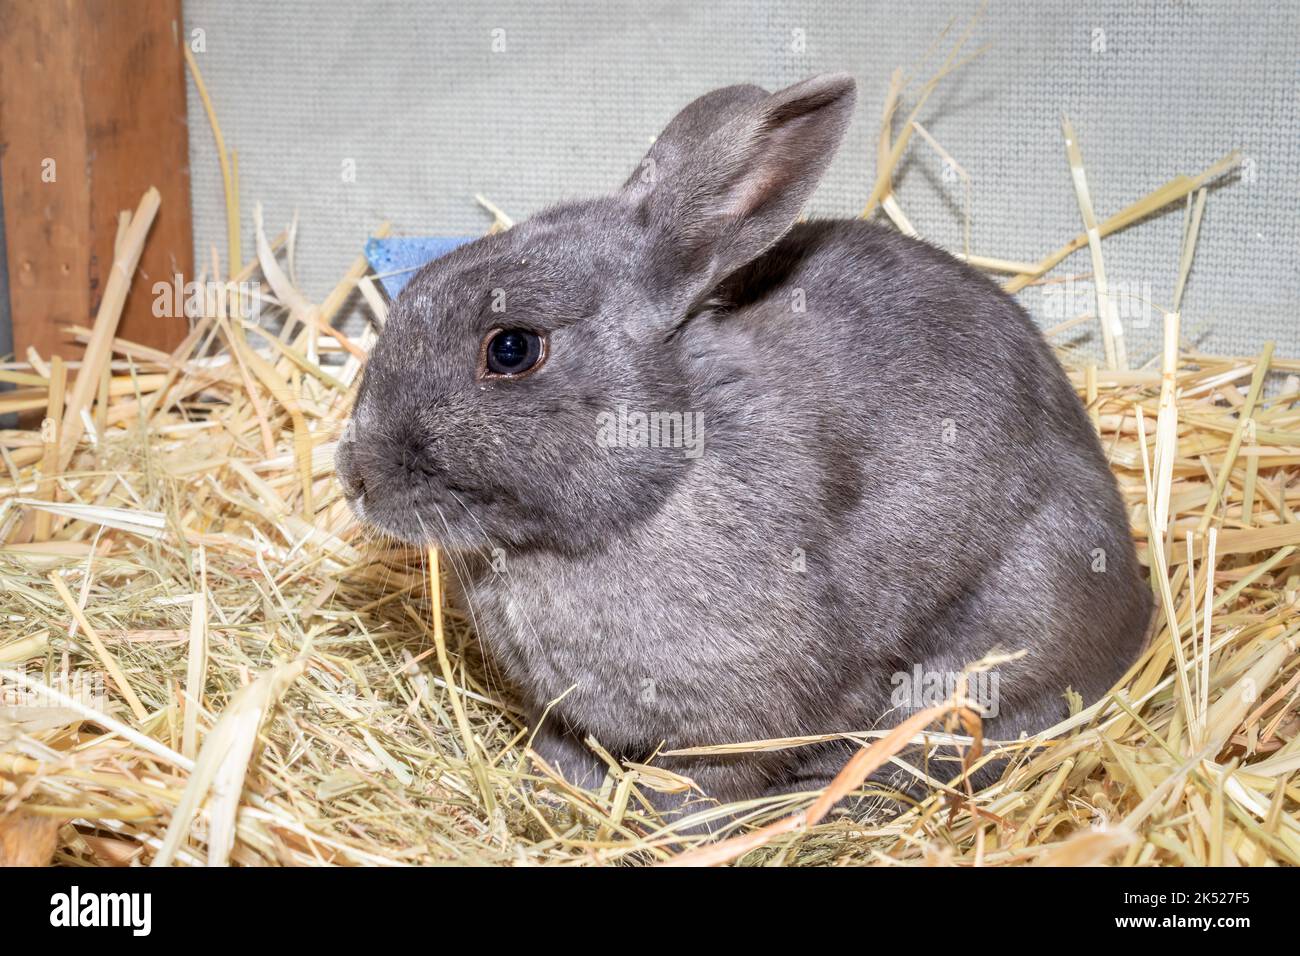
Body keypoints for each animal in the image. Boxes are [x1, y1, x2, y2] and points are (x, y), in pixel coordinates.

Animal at [336, 73, 1152, 815]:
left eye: (511, 348)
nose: (355, 476)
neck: (660, 484)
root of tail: (1137, 617)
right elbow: (563, 745)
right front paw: (561, 790)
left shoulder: (741, 721)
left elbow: (708, 781)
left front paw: (667, 821)